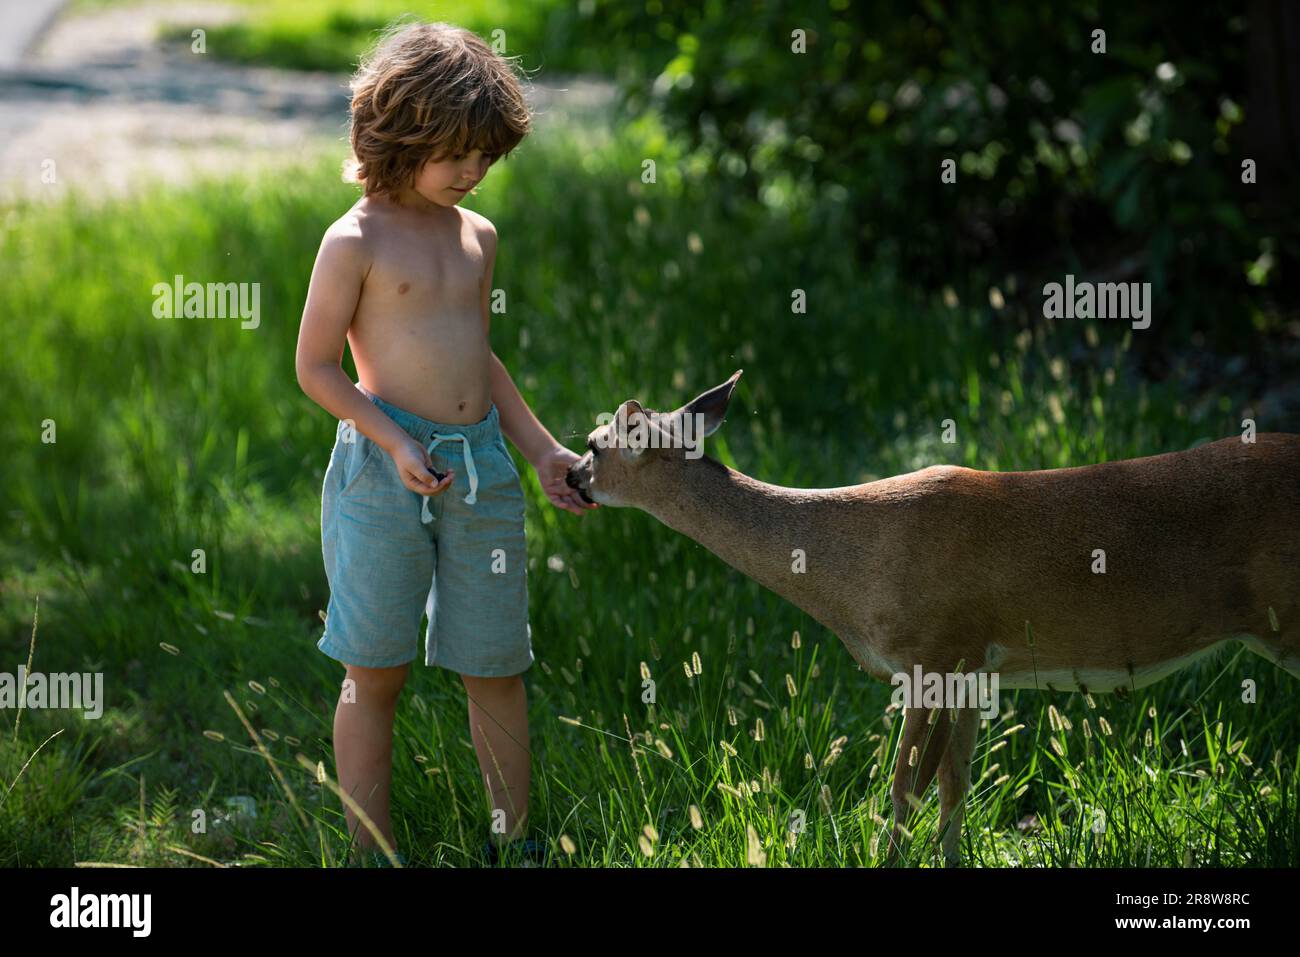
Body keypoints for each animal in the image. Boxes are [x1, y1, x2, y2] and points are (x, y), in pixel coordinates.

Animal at [564, 370, 1300, 865]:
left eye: (597, 444)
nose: (570, 476)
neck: (846, 566)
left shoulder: (931, 651)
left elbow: (903, 788)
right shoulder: (975, 666)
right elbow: (954, 788)